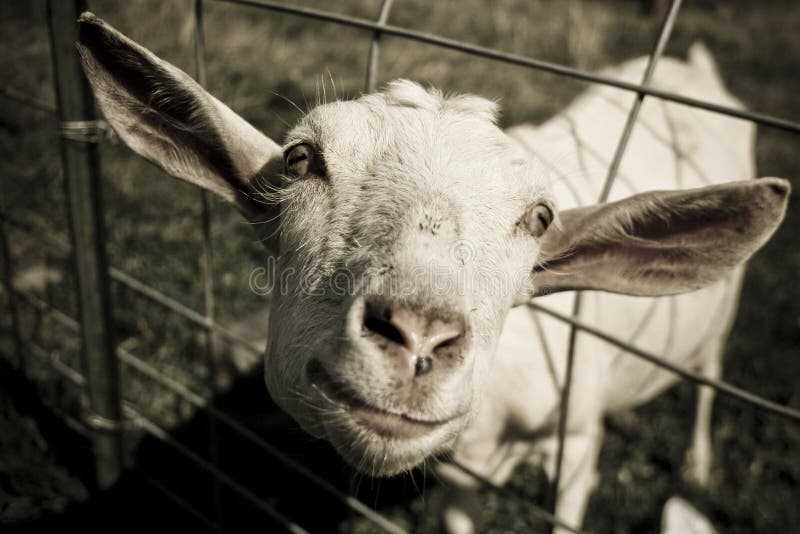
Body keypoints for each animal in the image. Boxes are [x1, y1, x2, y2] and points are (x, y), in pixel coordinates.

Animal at [76, 13, 790, 532]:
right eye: (301, 159)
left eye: (539, 217)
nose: (418, 339)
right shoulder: (463, 470)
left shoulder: (575, 448)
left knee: (708, 374)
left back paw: (697, 463)